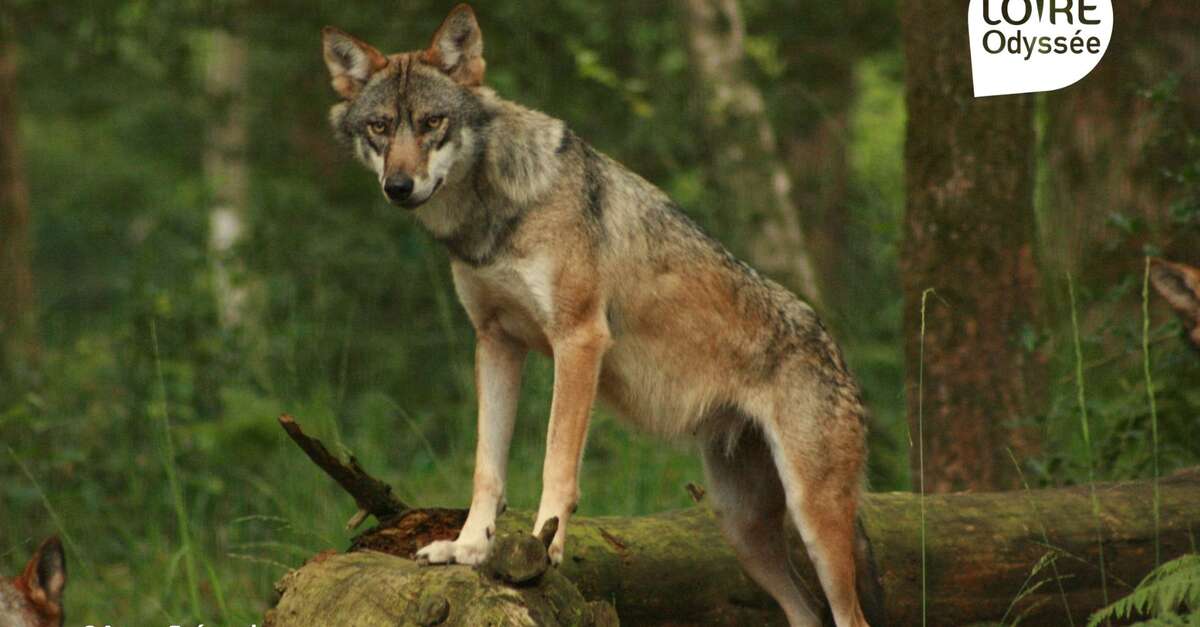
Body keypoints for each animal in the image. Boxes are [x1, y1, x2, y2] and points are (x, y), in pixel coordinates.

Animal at [322, 5, 875, 625]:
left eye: (432, 121)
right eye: (380, 127)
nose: (398, 186)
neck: (494, 216)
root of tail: (835, 350)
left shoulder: (579, 339)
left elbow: (556, 463)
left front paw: (545, 548)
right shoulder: (494, 343)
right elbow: (487, 468)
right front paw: (468, 549)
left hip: (813, 524)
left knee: (849, 614)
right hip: (743, 532)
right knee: (805, 612)